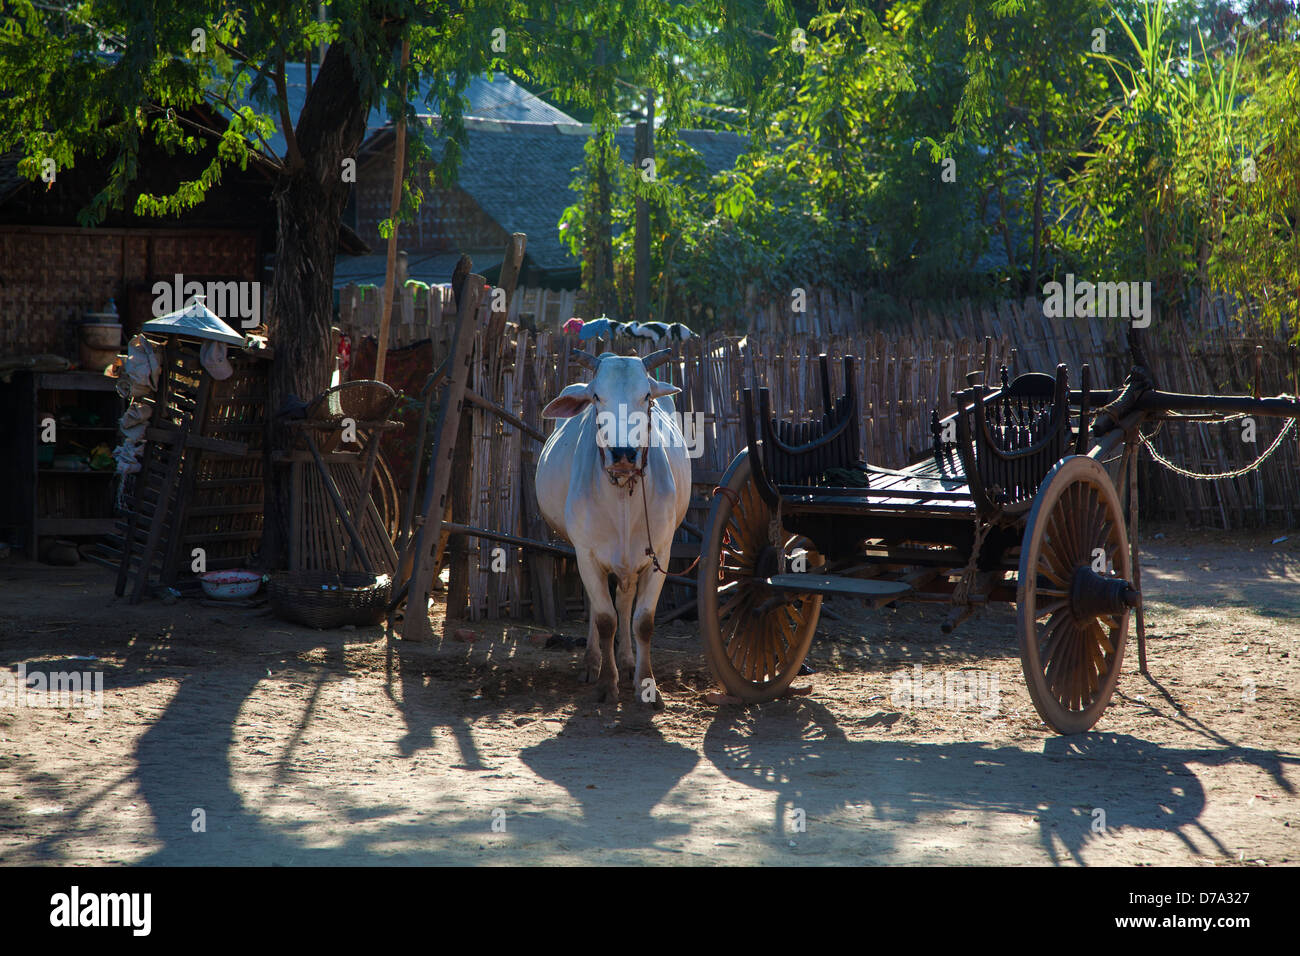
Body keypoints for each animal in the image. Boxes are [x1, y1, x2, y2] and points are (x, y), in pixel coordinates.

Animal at [536, 348, 691, 709]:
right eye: (596, 397)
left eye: (646, 396)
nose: (623, 453)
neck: (622, 495)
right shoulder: (586, 554)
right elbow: (606, 620)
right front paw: (607, 683)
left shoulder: (659, 554)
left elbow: (643, 621)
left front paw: (646, 685)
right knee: (599, 608)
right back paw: (594, 663)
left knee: (624, 600)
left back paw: (628, 661)